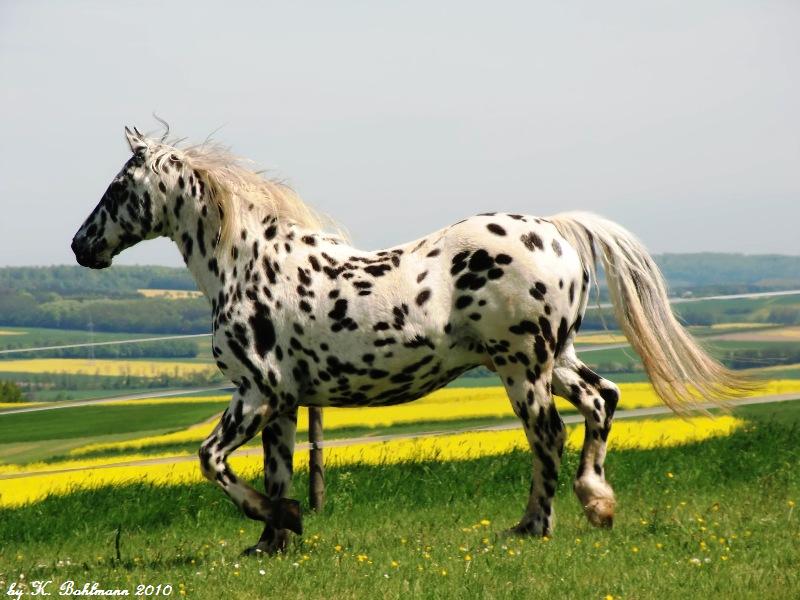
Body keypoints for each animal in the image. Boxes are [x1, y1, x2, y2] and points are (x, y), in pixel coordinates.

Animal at [72, 127, 750, 555]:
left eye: (117, 188)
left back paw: (535, 526)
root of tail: (555, 232)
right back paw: (596, 502)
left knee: (549, 434)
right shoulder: (283, 404)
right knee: (601, 399)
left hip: (522, 367)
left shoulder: (254, 393)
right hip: (556, 359)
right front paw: (270, 545)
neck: (250, 266)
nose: (81, 246)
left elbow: (212, 460)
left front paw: (283, 524)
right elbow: (277, 471)